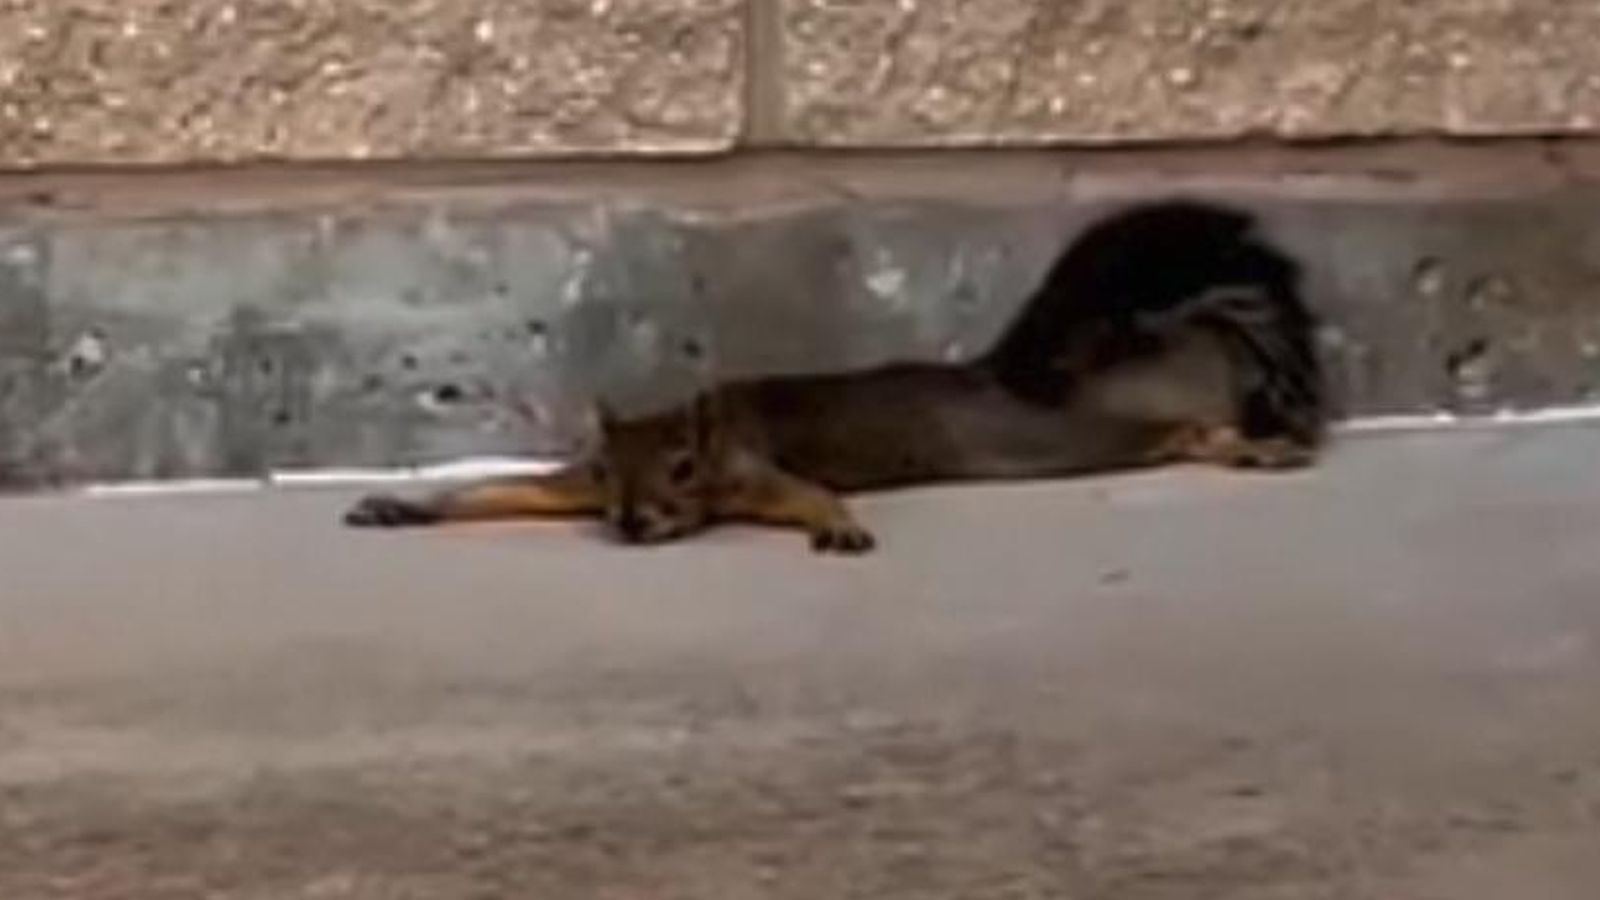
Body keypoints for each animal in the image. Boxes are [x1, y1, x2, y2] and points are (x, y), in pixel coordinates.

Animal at [345, 200, 1328, 554]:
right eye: (607, 468)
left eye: (684, 468)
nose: (630, 520)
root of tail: (1007, 377)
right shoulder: (572, 487)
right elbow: (500, 492)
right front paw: (404, 506)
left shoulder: (754, 473)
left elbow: (808, 495)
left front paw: (840, 524)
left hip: (1052, 442)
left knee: (1170, 431)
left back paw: (1247, 448)